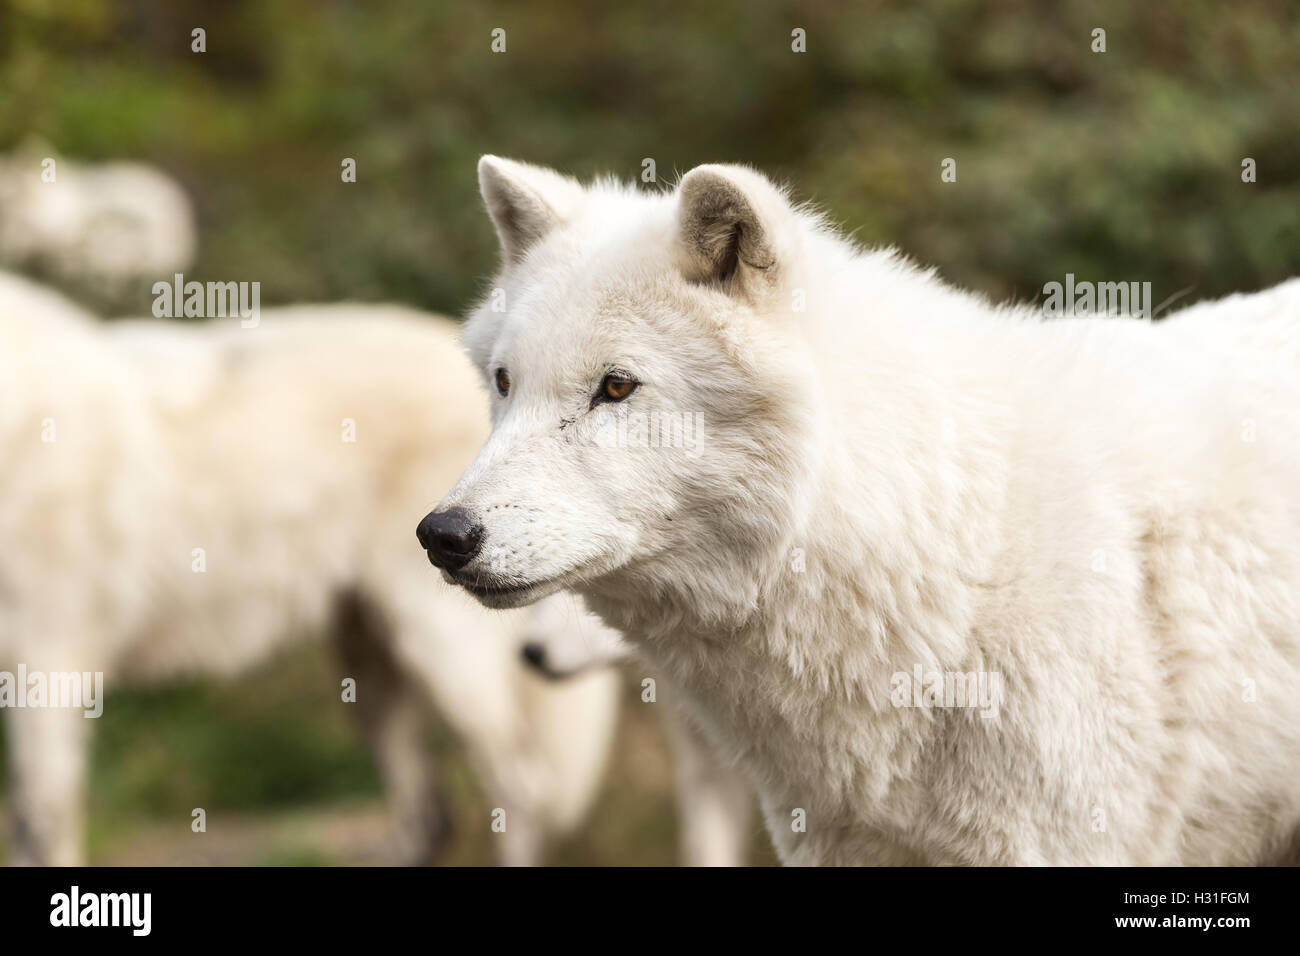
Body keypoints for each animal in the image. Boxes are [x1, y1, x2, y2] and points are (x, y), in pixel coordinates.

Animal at [0, 271, 618, 866]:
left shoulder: (50, 668)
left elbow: (43, 829)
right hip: (366, 670)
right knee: (432, 818)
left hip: (440, 653)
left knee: (523, 790)